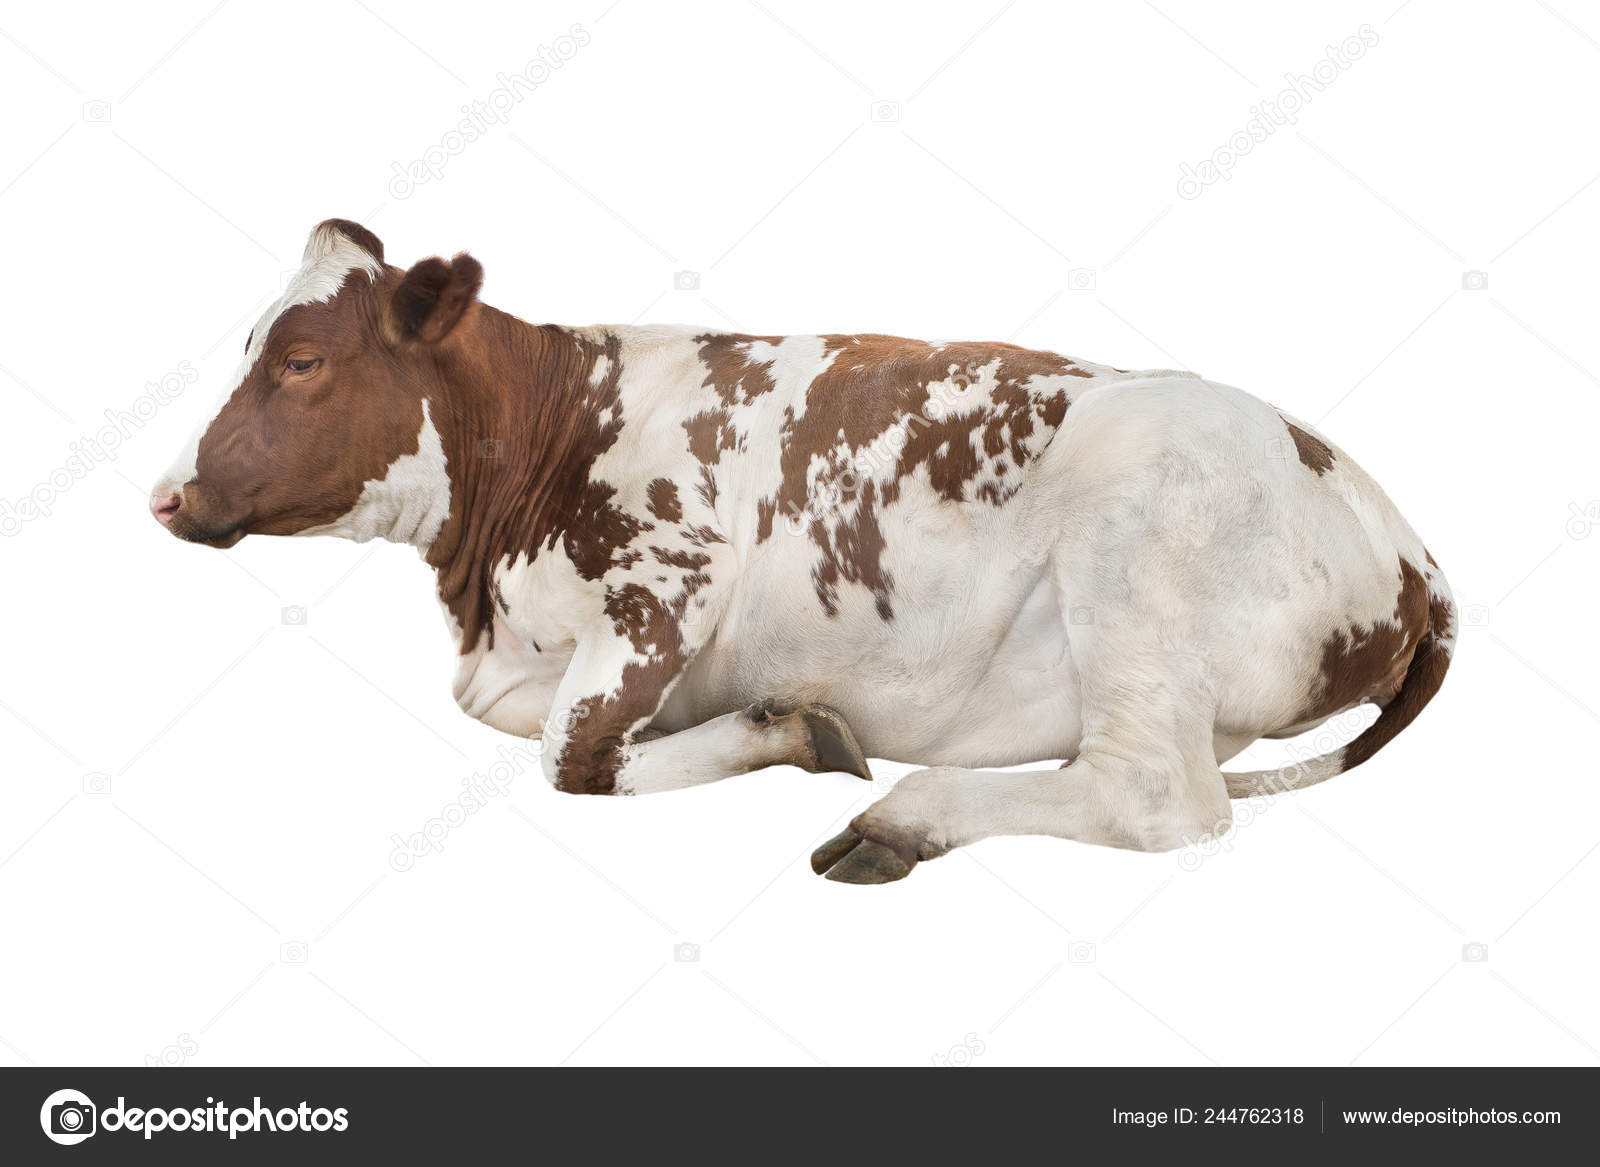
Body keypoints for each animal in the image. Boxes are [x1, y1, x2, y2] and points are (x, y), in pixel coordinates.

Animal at [151, 220, 1454, 884]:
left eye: (303, 360)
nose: (167, 495)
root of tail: (1404, 541)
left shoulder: (666, 584)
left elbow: (574, 757)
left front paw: (785, 731)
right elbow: (516, 714)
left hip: (1133, 556)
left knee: (1161, 797)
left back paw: (902, 820)